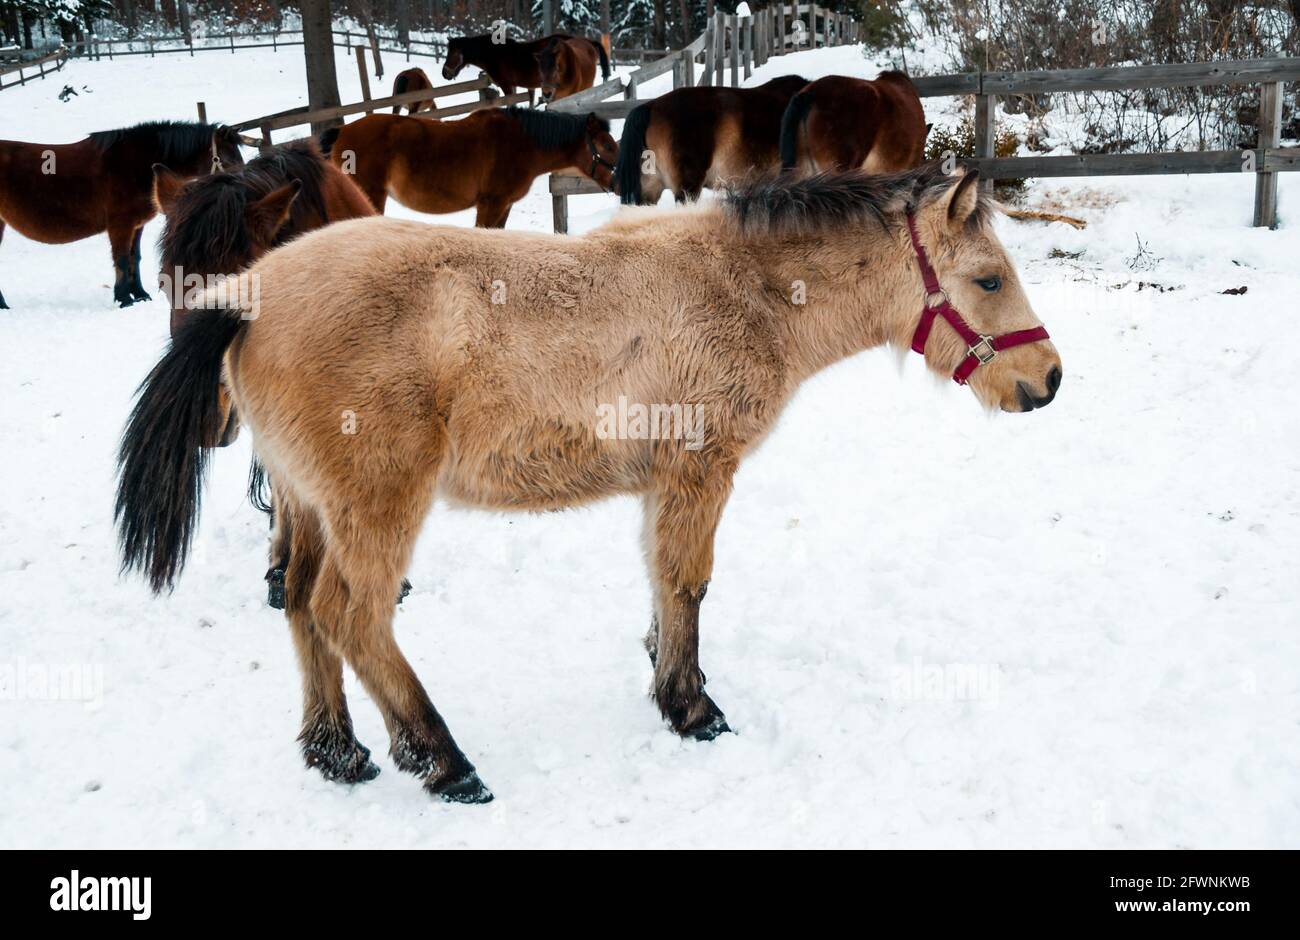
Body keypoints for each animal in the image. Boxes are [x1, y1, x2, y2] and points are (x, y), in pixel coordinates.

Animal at [0, 121, 244, 308]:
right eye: (227, 160)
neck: (135, 163)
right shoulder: (121, 225)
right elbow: (122, 258)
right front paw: (124, 298)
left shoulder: (136, 225)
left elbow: (135, 258)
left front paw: (140, 294)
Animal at [318, 108, 618, 227]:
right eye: (606, 146)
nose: (619, 182)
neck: (521, 143)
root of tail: (341, 131)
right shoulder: (490, 205)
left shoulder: (503, 207)